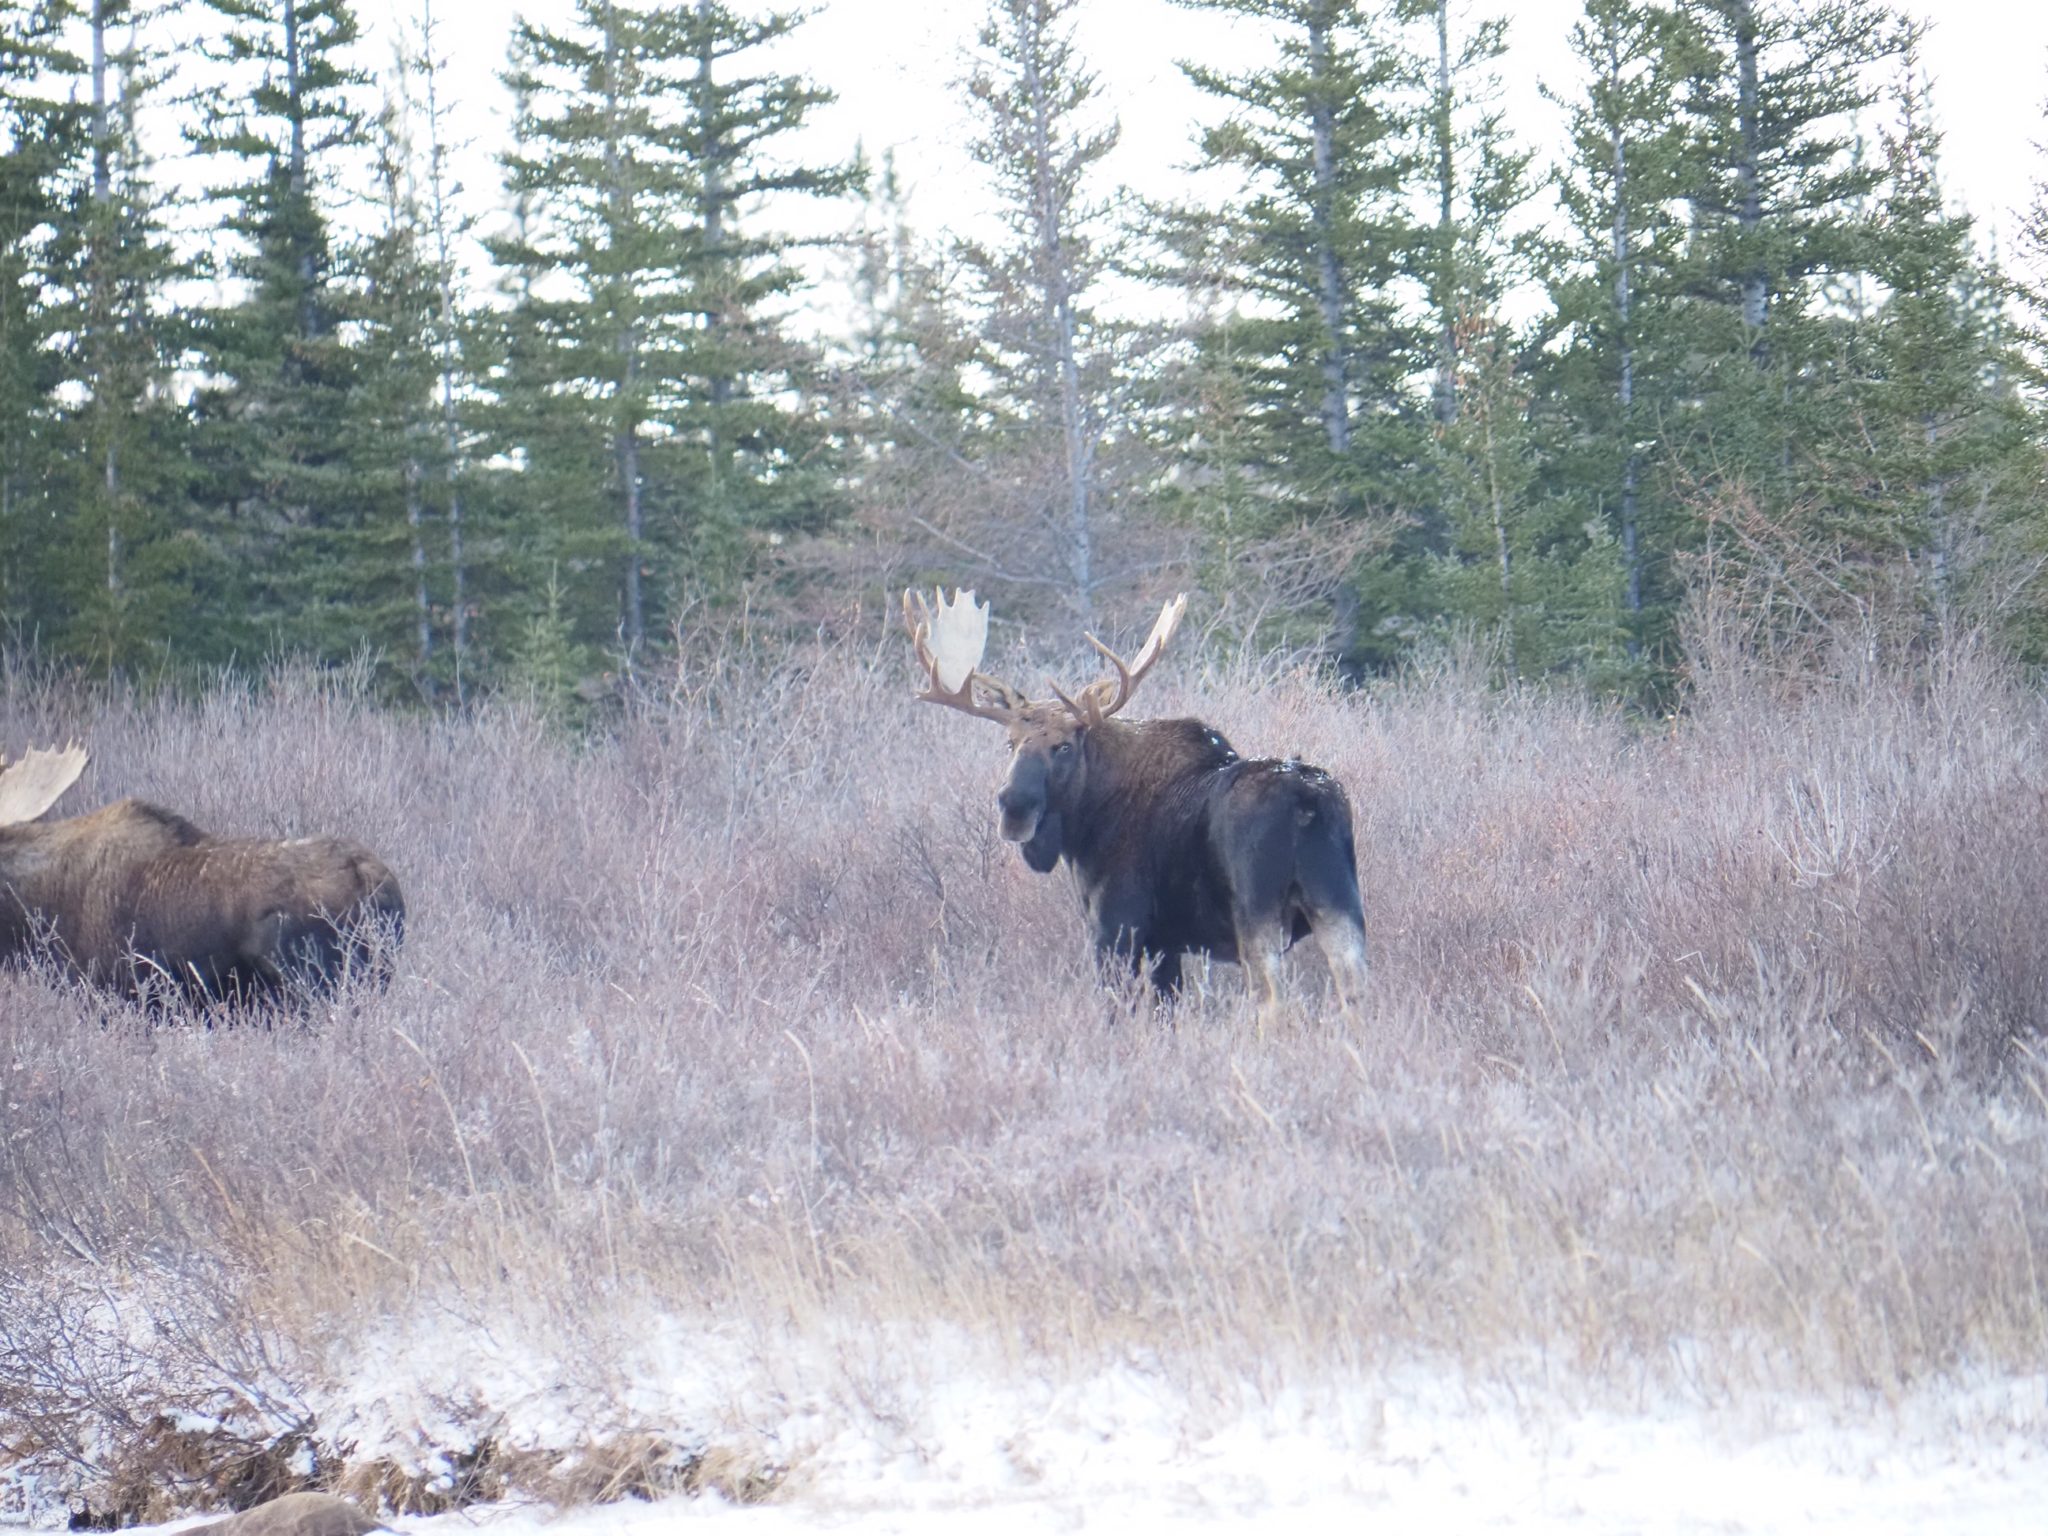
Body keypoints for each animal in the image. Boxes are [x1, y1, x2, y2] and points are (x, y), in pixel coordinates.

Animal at [903, 588, 1368, 1032]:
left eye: (1064, 746)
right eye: (1011, 743)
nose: (1014, 806)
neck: (1085, 829)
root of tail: (1306, 802)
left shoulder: (1115, 928)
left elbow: (1117, 1012)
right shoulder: (1167, 943)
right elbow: (1167, 1013)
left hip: (1257, 914)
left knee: (1273, 1002)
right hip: (1339, 901)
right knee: (1354, 991)